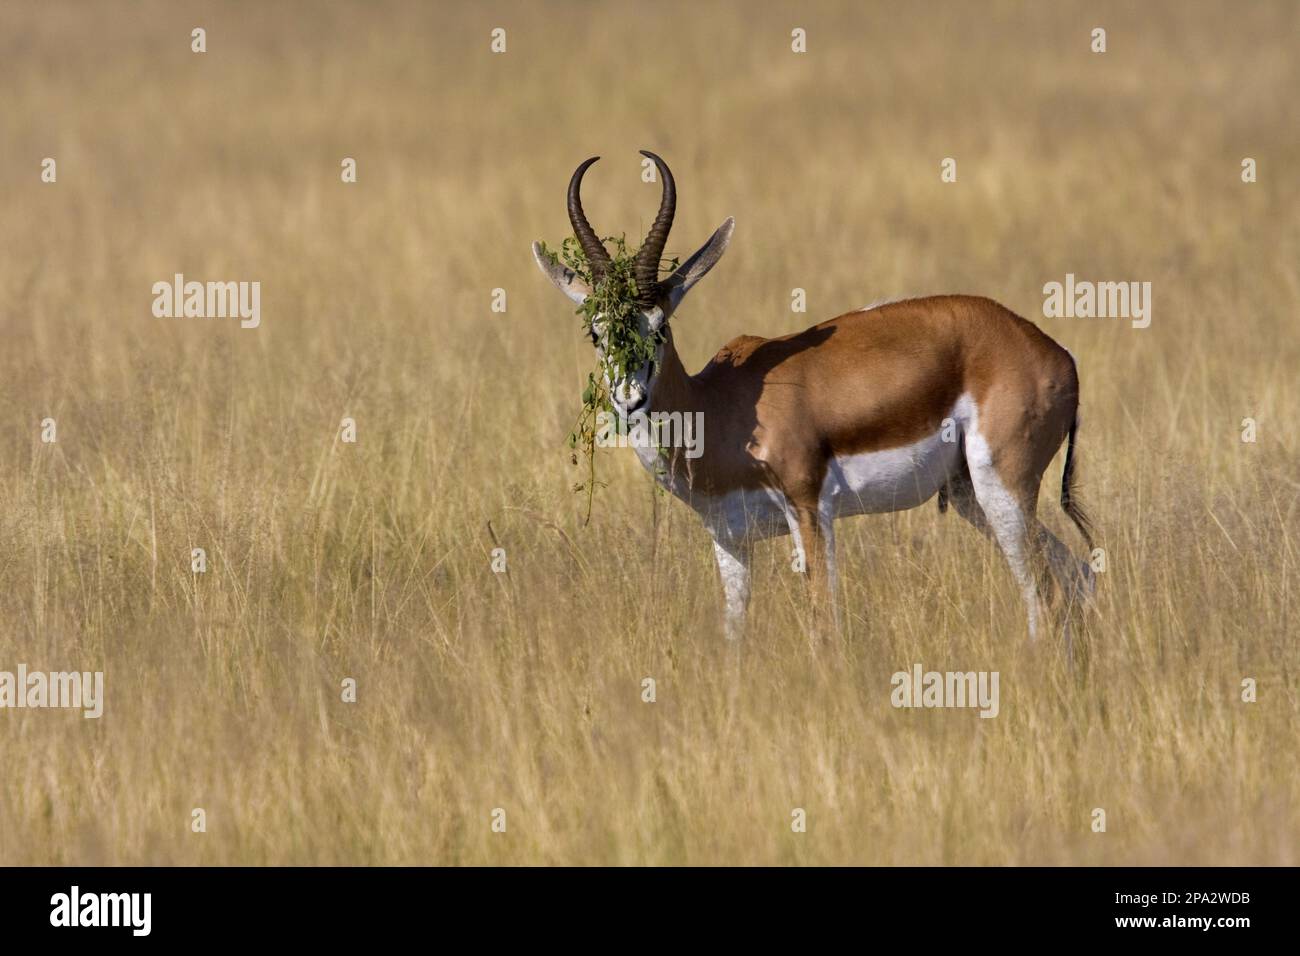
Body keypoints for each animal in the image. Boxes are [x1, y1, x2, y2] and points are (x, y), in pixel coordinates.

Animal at [533, 151, 1096, 641]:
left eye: (660, 328)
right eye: (596, 332)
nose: (630, 400)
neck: (720, 407)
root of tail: (1059, 354)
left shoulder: (809, 510)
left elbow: (826, 627)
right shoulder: (730, 540)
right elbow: (734, 636)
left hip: (1001, 487)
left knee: (1043, 594)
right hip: (969, 495)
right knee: (1075, 575)